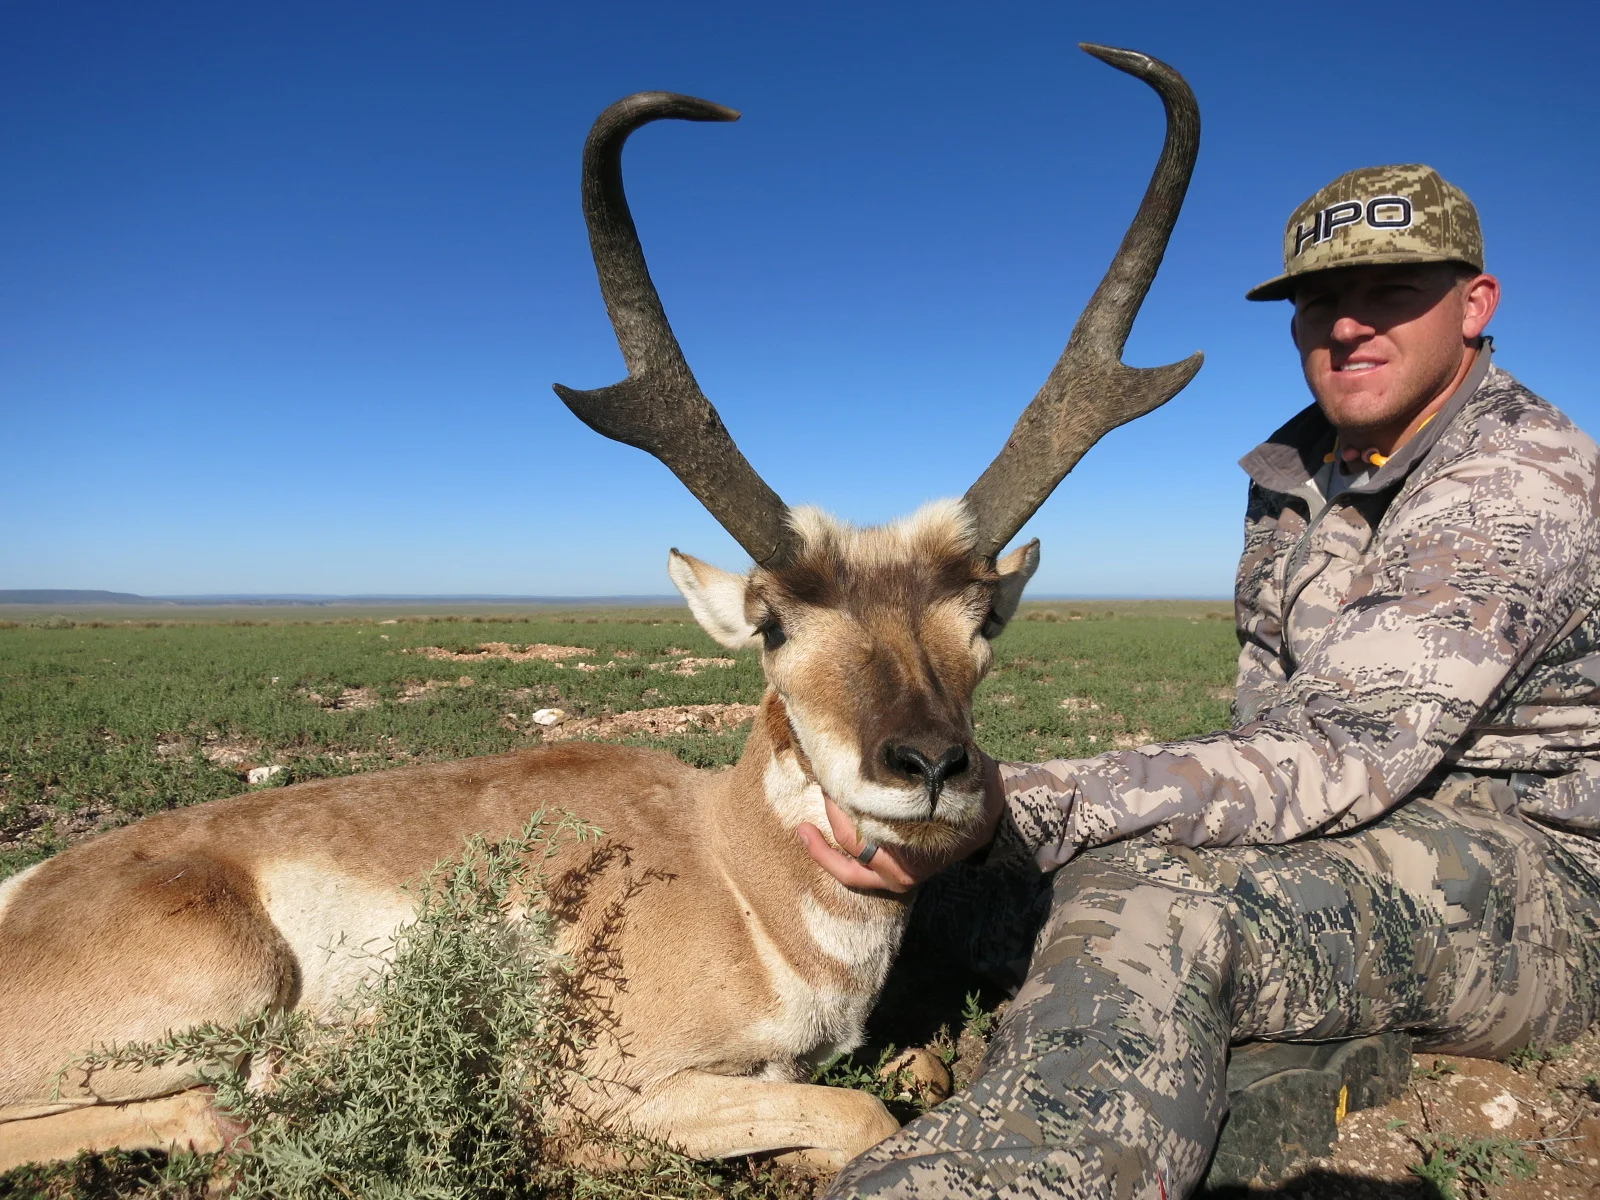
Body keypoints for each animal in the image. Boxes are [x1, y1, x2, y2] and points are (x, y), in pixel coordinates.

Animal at [0, 43, 1202, 1175]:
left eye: (981, 623)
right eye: (772, 623)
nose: (933, 768)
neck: (734, 871)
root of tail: (27, 892)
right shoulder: (608, 1096)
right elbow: (856, 1112)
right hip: (228, 986)